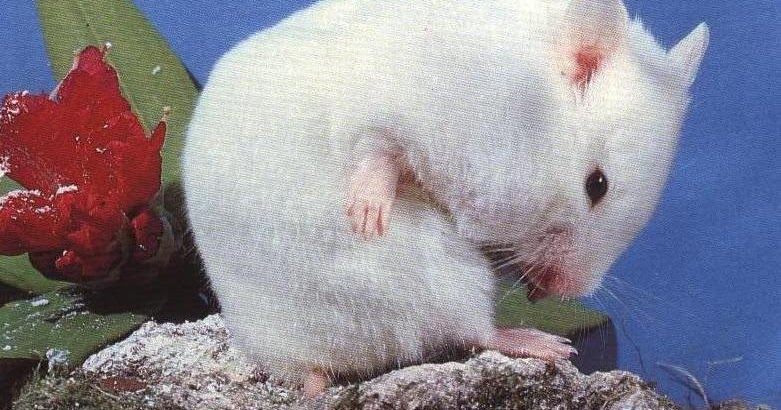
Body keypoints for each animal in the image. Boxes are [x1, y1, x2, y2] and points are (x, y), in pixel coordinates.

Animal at [182, 0, 708, 396]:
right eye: (596, 185)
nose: (563, 291)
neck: (513, 108)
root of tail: (313, 361)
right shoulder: (384, 107)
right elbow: (376, 148)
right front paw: (367, 218)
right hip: (441, 277)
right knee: (474, 329)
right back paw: (551, 345)